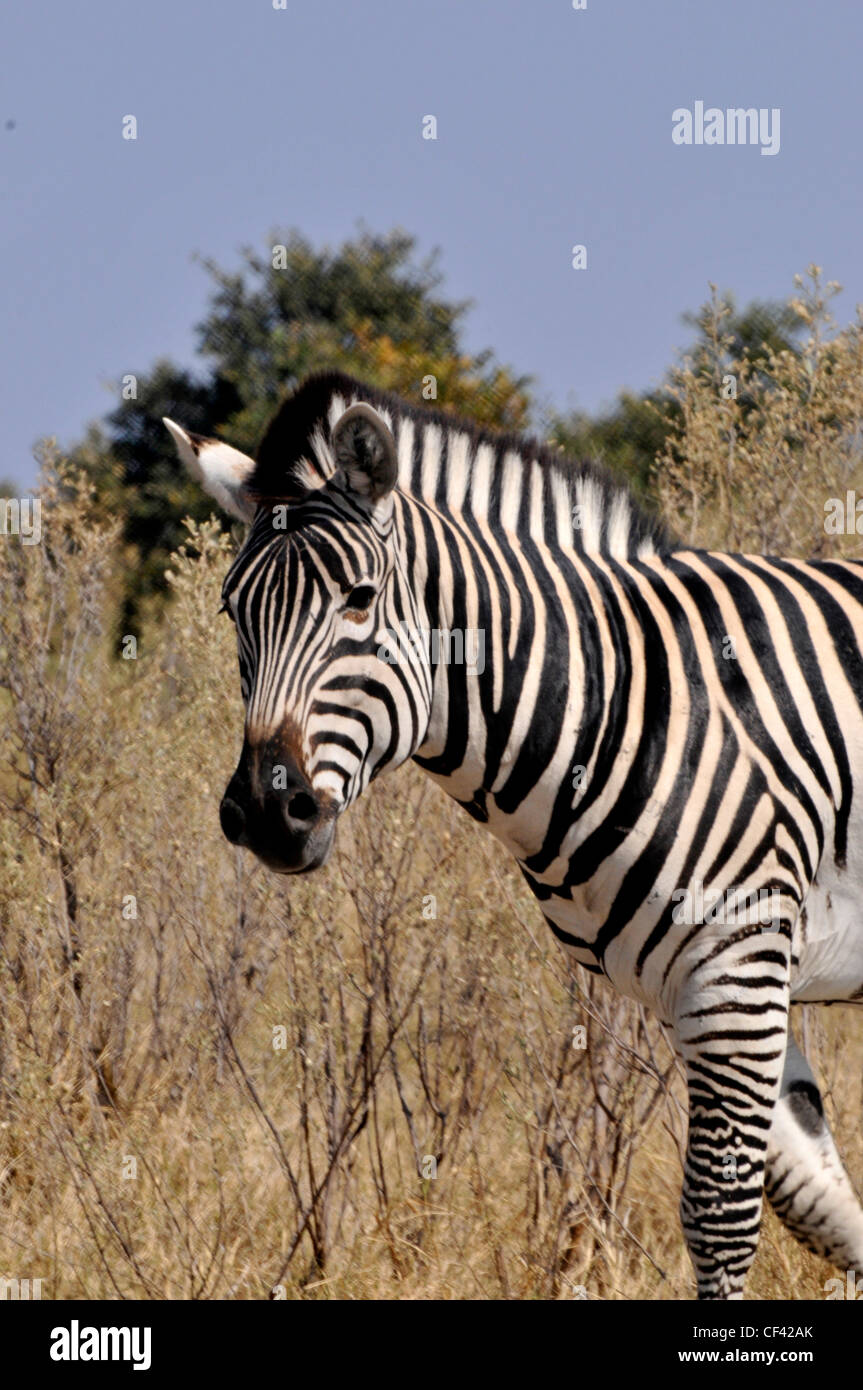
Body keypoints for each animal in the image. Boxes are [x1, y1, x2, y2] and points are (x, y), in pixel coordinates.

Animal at [164, 371, 863, 1299]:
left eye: (358, 599)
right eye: (230, 610)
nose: (268, 812)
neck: (622, 700)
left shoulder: (737, 966)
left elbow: (719, 1216)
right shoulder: (705, 988)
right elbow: (820, 1206)